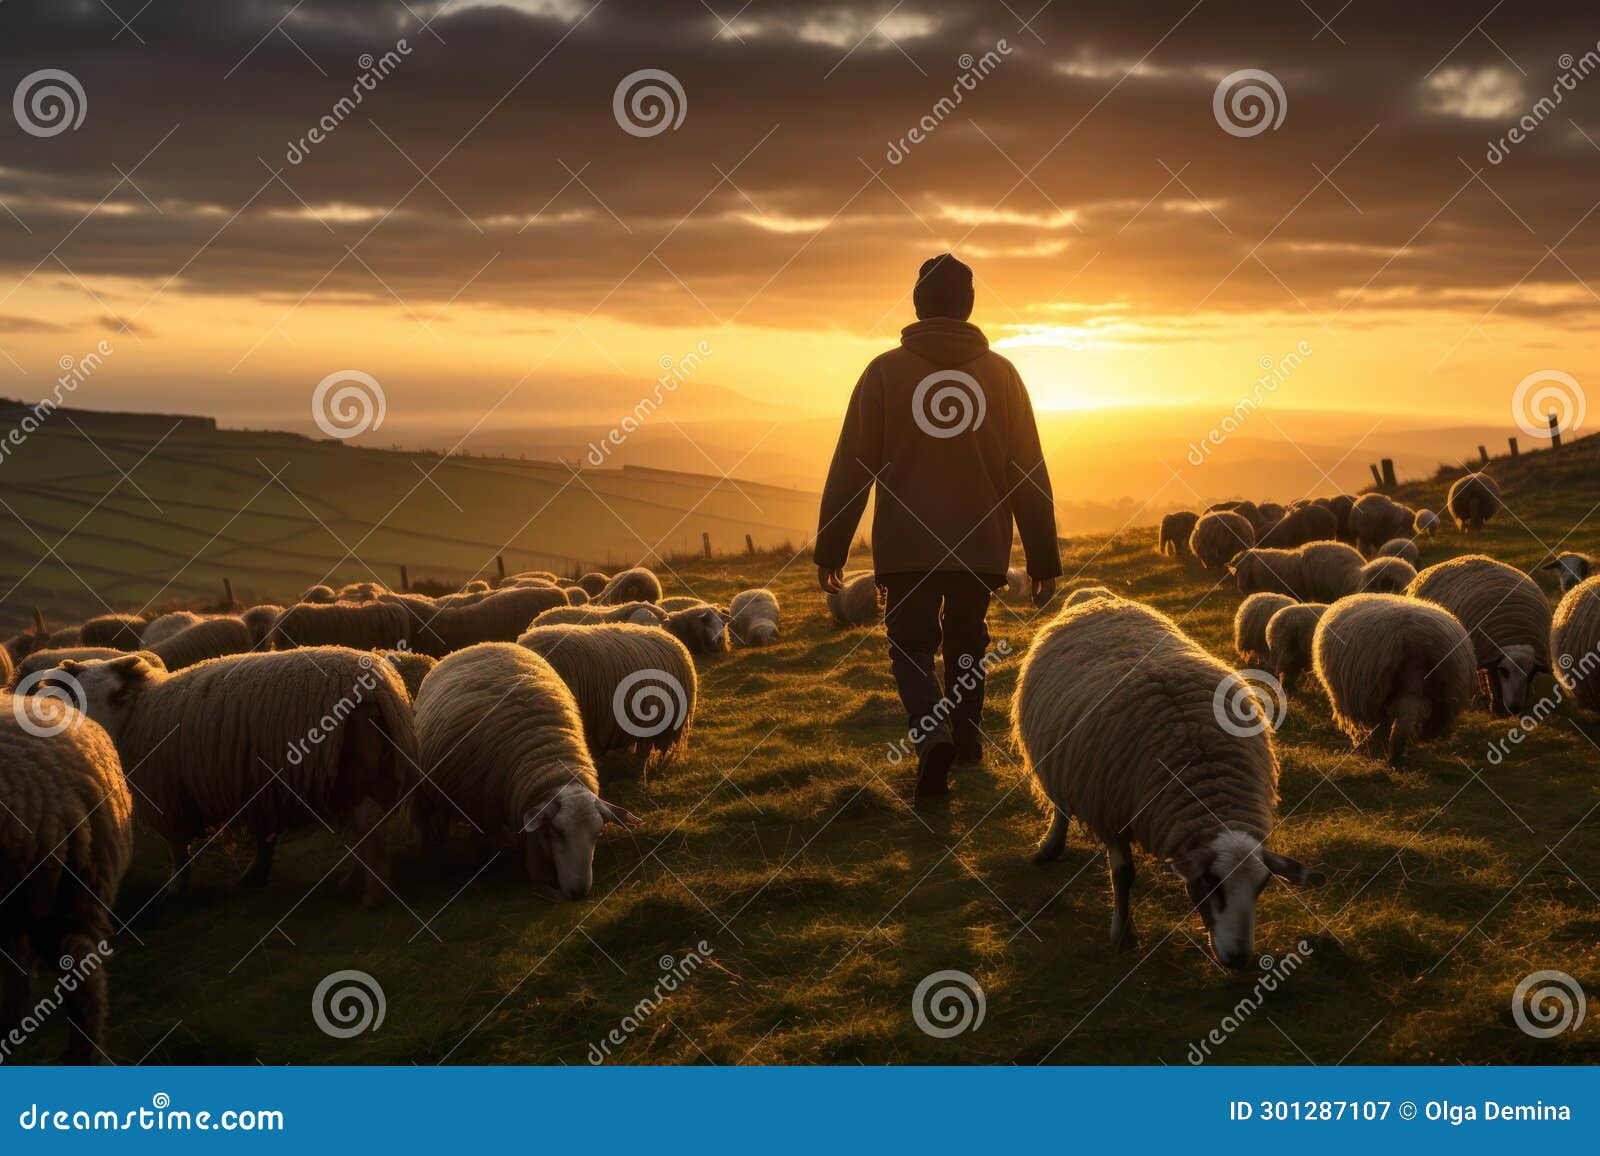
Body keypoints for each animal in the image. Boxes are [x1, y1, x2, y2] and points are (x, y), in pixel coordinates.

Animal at [59, 648, 415, 905]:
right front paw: (254, 876)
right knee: (367, 828)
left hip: (354, 770)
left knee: (369, 824)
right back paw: (352, 882)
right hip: (371, 772)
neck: (139, 713)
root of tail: (382, 691)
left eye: (117, 696)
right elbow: (263, 836)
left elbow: (177, 848)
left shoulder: (169, 797)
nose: (92, 732)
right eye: (74, 699)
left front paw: (175, 889)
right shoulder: (257, 785)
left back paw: (373, 895)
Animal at [411, 643, 634, 900]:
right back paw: (429, 849)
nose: (578, 893)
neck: (549, 756)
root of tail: (479, 645)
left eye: (597, 833)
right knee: (428, 816)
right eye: (556, 831)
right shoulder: (486, 808)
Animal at [1012, 594, 1322, 966]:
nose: (1238, 960)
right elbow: (1123, 876)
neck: (1204, 775)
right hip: (1057, 761)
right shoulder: (1112, 812)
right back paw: (1051, 846)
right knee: (1059, 805)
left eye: (1262, 886)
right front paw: (1123, 934)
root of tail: (1100, 597)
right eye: (1209, 884)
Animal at [1406, 554, 1552, 714]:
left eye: (1530, 674)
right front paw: (1497, 708)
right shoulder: (1493, 660)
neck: (1514, 634)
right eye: (1504, 671)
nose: (1514, 708)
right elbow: (1493, 682)